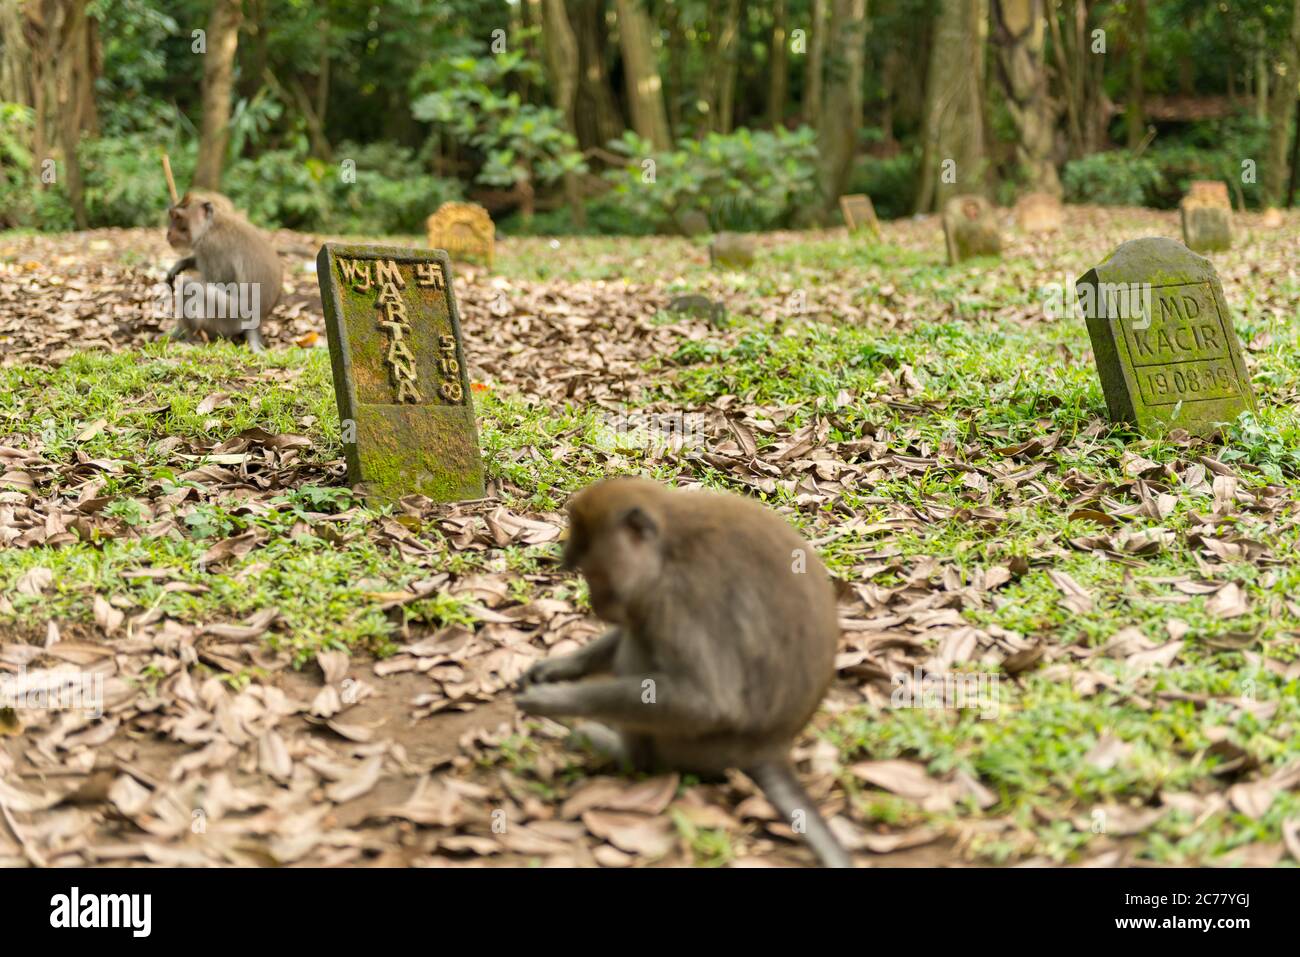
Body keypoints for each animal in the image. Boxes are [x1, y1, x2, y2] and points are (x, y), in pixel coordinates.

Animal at [163, 192, 281, 352]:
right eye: (172, 216)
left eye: (178, 217)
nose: (168, 232)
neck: (210, 226)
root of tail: (257, 323)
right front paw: (181, 264)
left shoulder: (211, 247)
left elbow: (219, 282)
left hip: (229, 318)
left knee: (191, 287)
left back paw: (189, 339)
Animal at [516, 476, 853, 868]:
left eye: (594, 574)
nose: (596, 604)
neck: (668, 546)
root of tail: (770, 749)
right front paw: (556, 667)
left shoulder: (679, 598)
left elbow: (707, 702)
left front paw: (554, 701)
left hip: (696, 748)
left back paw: (622, 752)